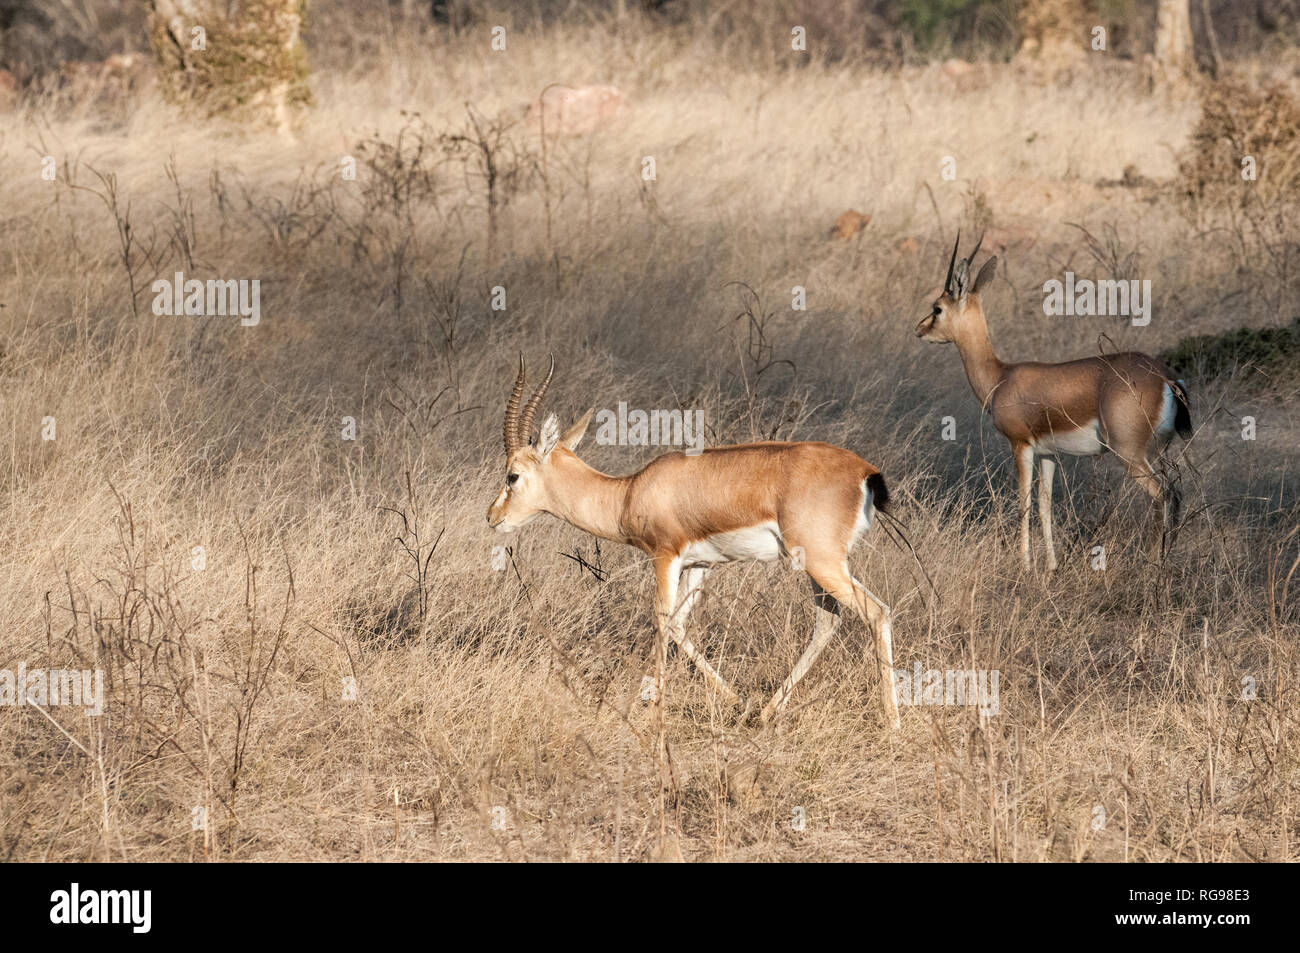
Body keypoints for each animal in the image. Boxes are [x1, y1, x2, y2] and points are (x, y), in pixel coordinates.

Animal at [486, 357, 901, 729]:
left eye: (513, 475)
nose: (492, 517)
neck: (628, 493)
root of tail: (866, 473)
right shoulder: (699, 564)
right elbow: (679, 626)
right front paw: (737, 701)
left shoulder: (665, 557)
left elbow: (661, 618)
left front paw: (651, 711)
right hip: (814, 566)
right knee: (828, 620)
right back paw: (765, 713)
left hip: (822, 562)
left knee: (876, 611)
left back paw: (892, 723)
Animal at [916, 233, 1192, 571]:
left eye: (938, 308)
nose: (919, 330)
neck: (1000, 376)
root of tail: (1166, 377)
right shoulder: (1048, 453)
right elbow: (1044, 506)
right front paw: (1051, 567)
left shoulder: (1020, 445)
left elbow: (1023, 503)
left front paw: (1024, 567)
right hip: (1158, 452)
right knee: (1176, 493)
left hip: (1129, 454)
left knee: (1163, 494)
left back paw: (1152, 565)